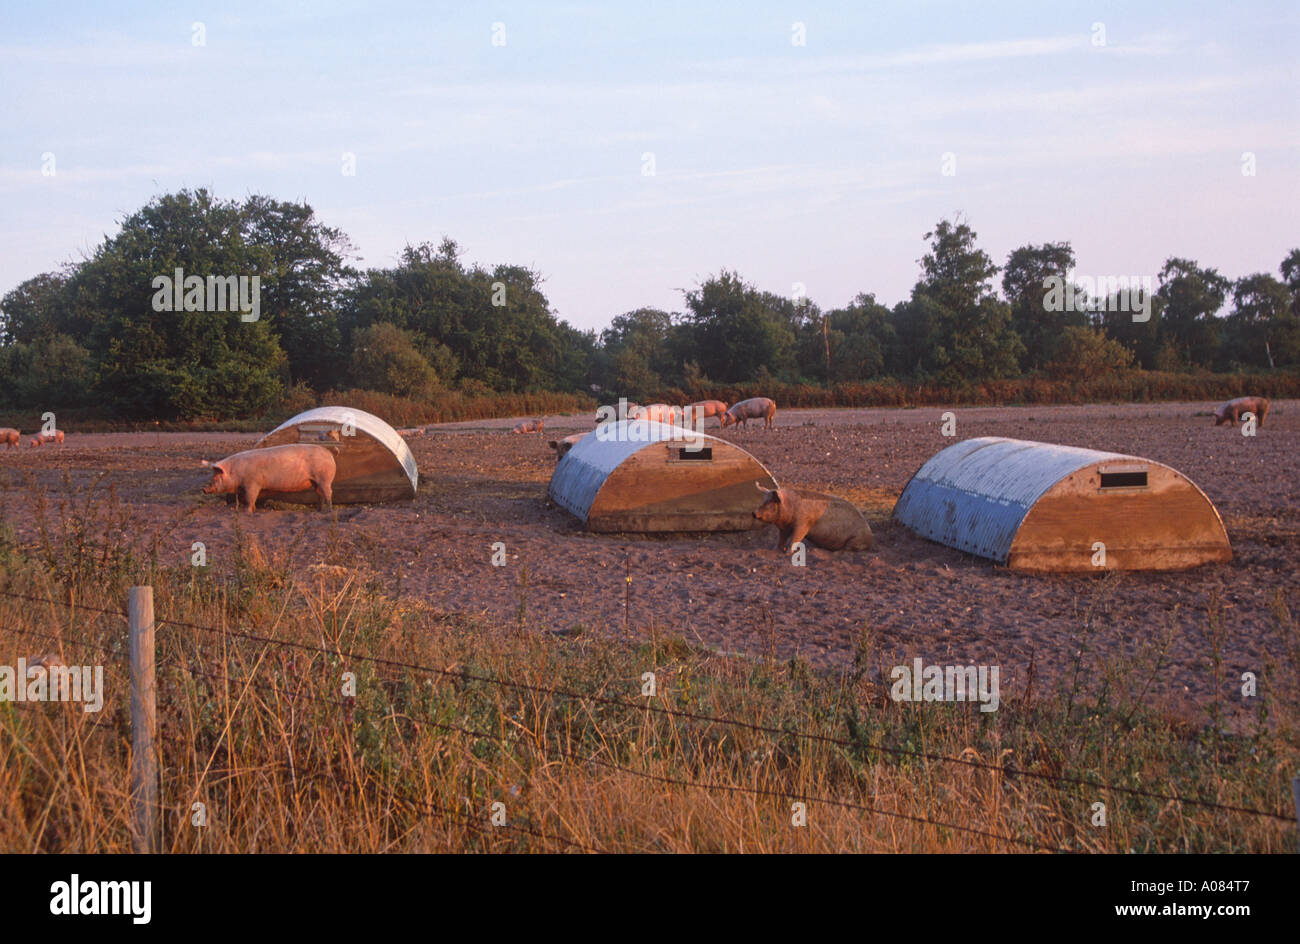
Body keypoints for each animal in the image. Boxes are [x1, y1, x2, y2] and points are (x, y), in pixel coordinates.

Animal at [201, 444, 336, 513]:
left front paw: (248, 512)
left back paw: (329, 511)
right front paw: (254, 510)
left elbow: (250, 498)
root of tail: (329, 453)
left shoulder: (253, 483)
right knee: (319, 494)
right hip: (315, 481)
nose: (204, 489)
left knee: (328, 493)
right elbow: (251, 499)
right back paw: (318, 510)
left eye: (216, 477)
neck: (235, 471)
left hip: (324, 478)